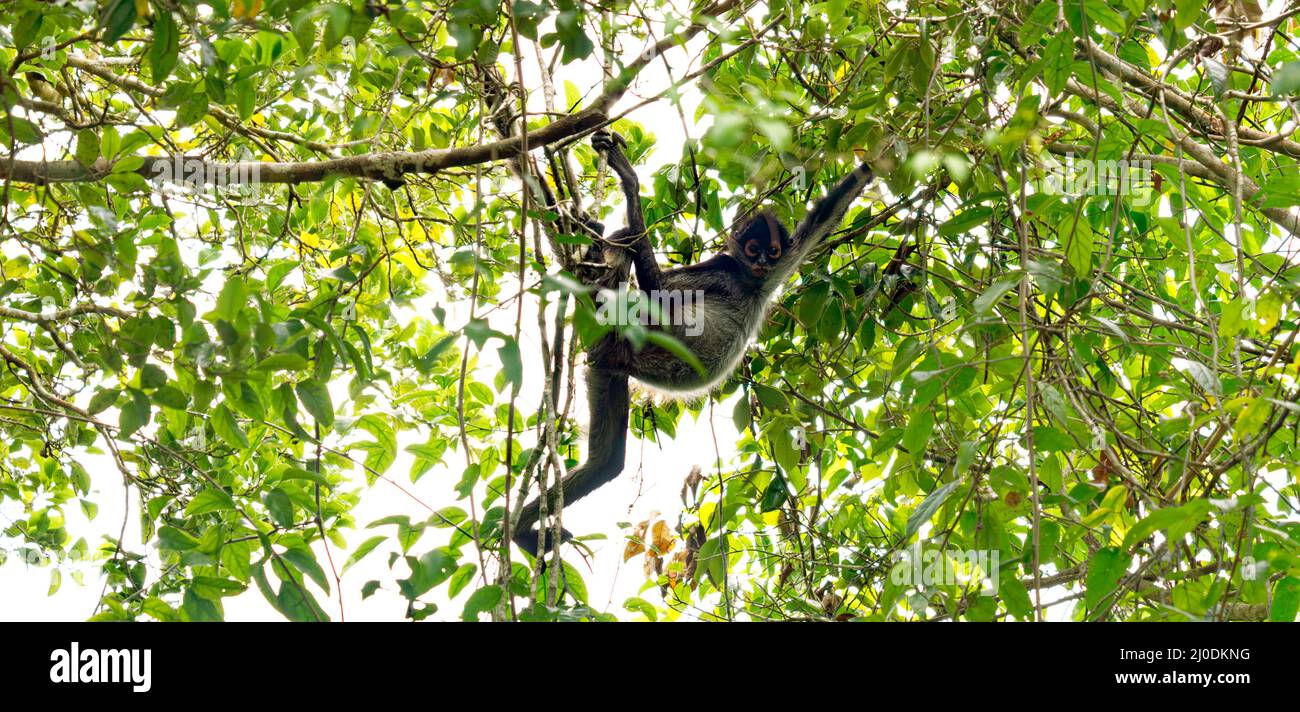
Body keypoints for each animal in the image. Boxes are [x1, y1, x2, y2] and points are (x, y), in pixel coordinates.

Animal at [513, 130, 875, 558]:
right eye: (753, 250)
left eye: (772, 252)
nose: (763, 263)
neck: (749, 285)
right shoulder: (721, 270)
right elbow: (657, 287)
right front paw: (630, 181)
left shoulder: (781, 264)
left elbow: (827, 214)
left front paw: (882, 159)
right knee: (626, 251)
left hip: (605, 365)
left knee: (607, 462)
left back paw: (520, 531)